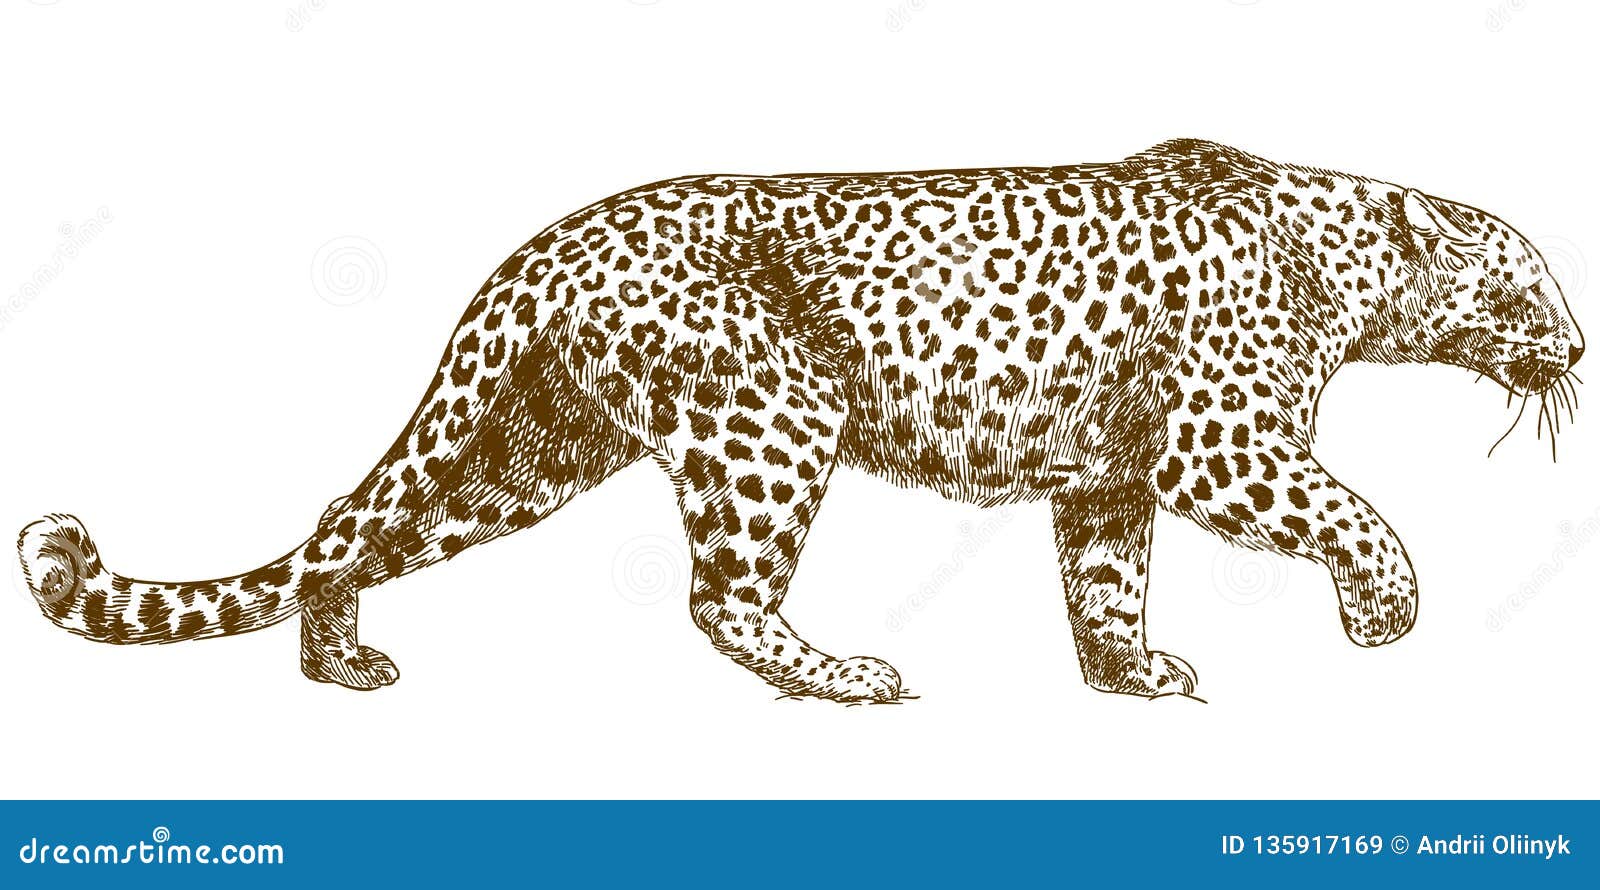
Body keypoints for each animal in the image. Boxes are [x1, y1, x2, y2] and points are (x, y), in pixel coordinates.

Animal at [18, 139, 1583, 702]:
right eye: (1525, 279)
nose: (1578, 344)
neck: (1345, 253)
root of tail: (539, 254)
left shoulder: (1112, 472)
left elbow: (1106, 580)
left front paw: (1133, 675)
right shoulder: (1223, 443)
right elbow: (1354, 510)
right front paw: (1381, 613)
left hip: (527, 446)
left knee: (352, 523)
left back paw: (340, 661)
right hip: (771, 413)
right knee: (720, 596)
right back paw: (841, 675)